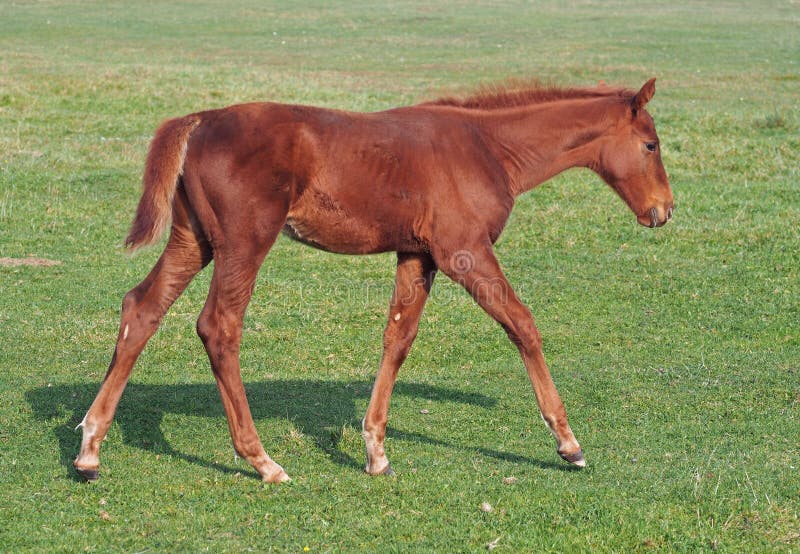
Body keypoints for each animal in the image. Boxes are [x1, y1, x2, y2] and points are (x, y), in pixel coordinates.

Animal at [74, 78, 673, 483]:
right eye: (651, 145)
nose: (664, 211)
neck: (488, 146)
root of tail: (202, 119)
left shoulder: (417, 254)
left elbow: (397, 338)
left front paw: (375, 450)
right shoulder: (464, 252)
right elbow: (522, 325)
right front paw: (567, 443)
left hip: (193, 240)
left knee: (141, 308)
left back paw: (90, 448)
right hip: (245, 242)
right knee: (218, 325)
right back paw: (262, 460)